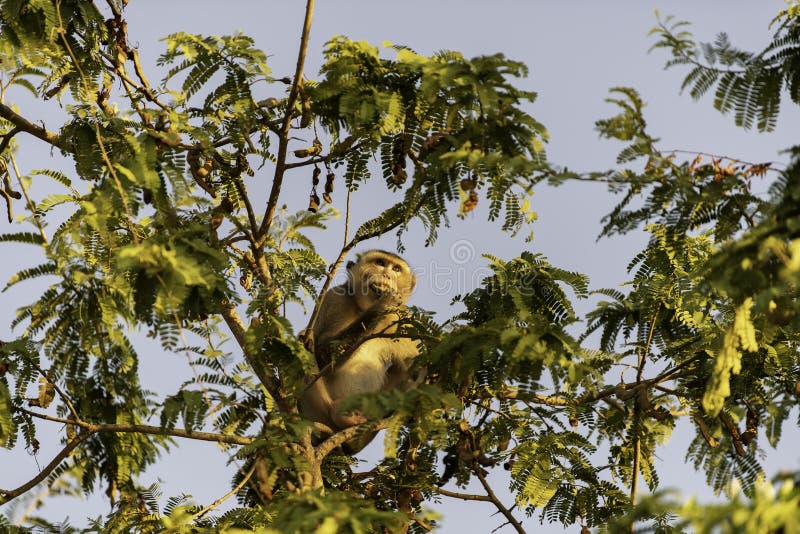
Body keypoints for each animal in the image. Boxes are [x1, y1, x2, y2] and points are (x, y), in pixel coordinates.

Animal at [300, 250, 420, 453]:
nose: (386, 275)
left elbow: (416, 366)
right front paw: (380, 305)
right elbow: (323, 354)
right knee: (302, 342)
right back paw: (337, 414)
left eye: (396, 269)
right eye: (380, 263)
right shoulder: (336, 299)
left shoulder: (403, 317)